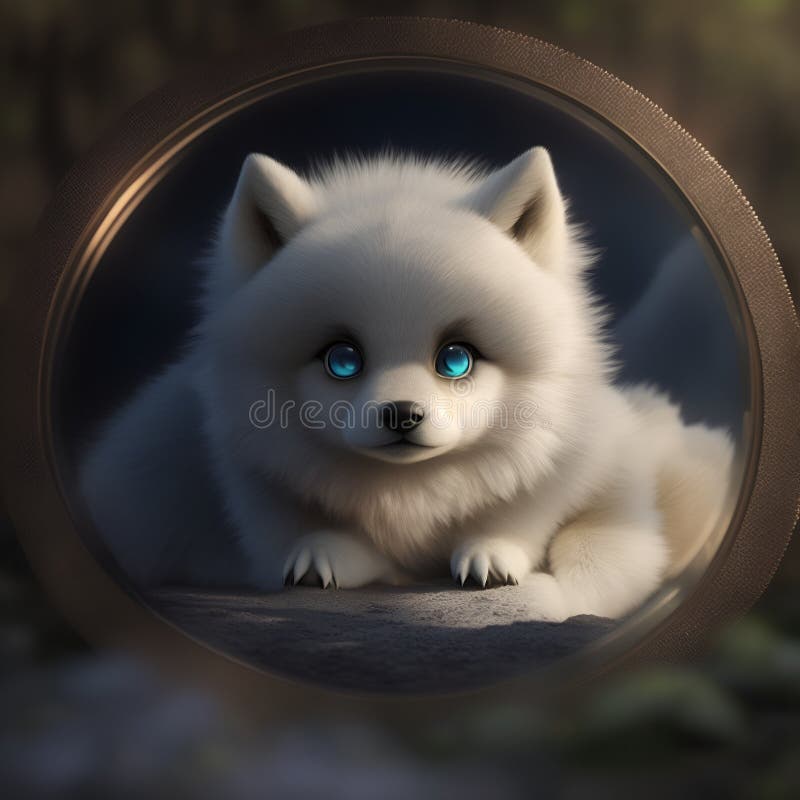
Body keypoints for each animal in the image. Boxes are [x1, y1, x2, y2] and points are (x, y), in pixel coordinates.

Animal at [80, 147, 733, 621]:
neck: (413, 500)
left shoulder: (615, 487)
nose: (401, 414)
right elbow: (300, 540)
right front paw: (322, 554)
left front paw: (497, 555)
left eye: (456, 359)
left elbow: (579, 545)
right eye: (342, 360)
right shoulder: (248, 482)